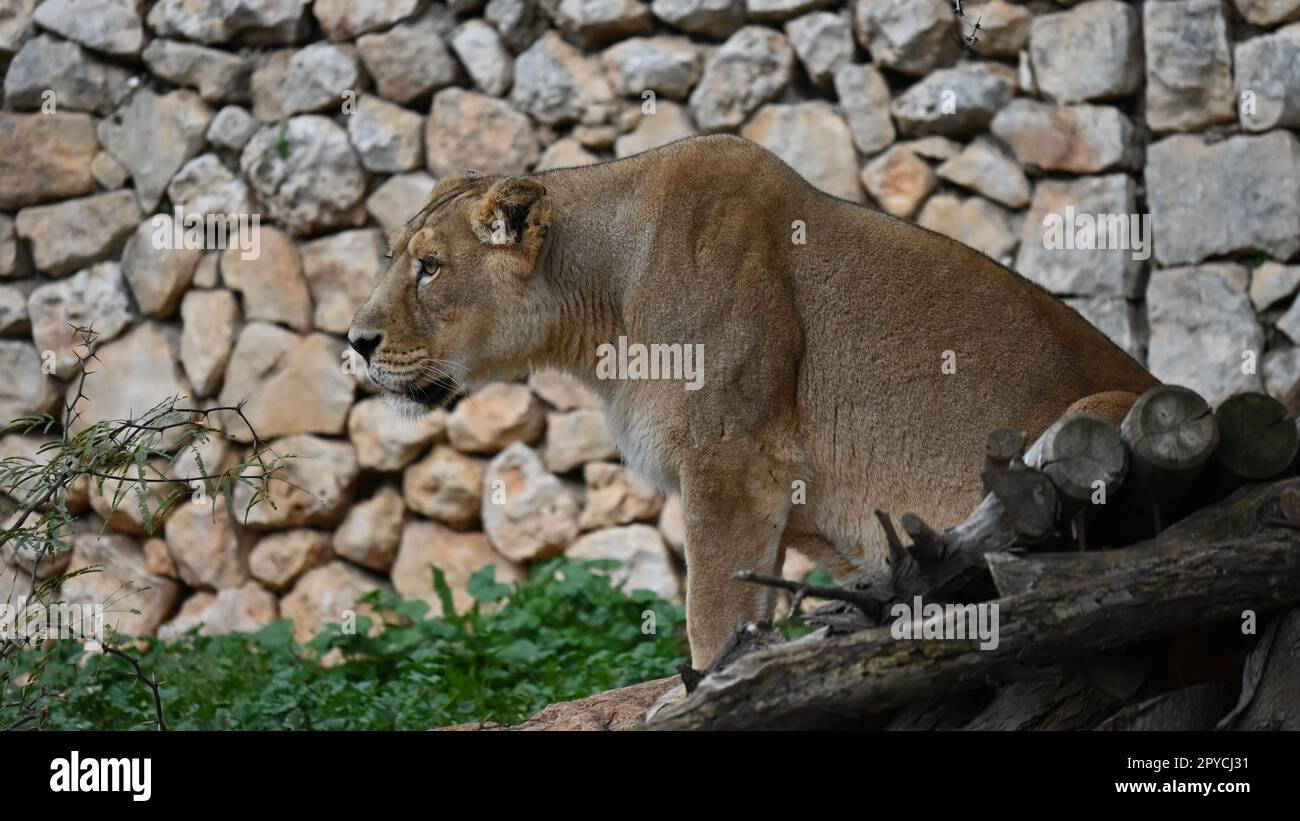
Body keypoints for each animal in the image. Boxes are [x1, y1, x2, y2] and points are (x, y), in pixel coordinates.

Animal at [348, 135, 1158, 667]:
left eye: (429, 267)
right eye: (391, 259)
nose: (354, 341)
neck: (604, 303)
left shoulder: (731, 465)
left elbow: (710, 617)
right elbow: (751, 620)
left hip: (1098, 417)